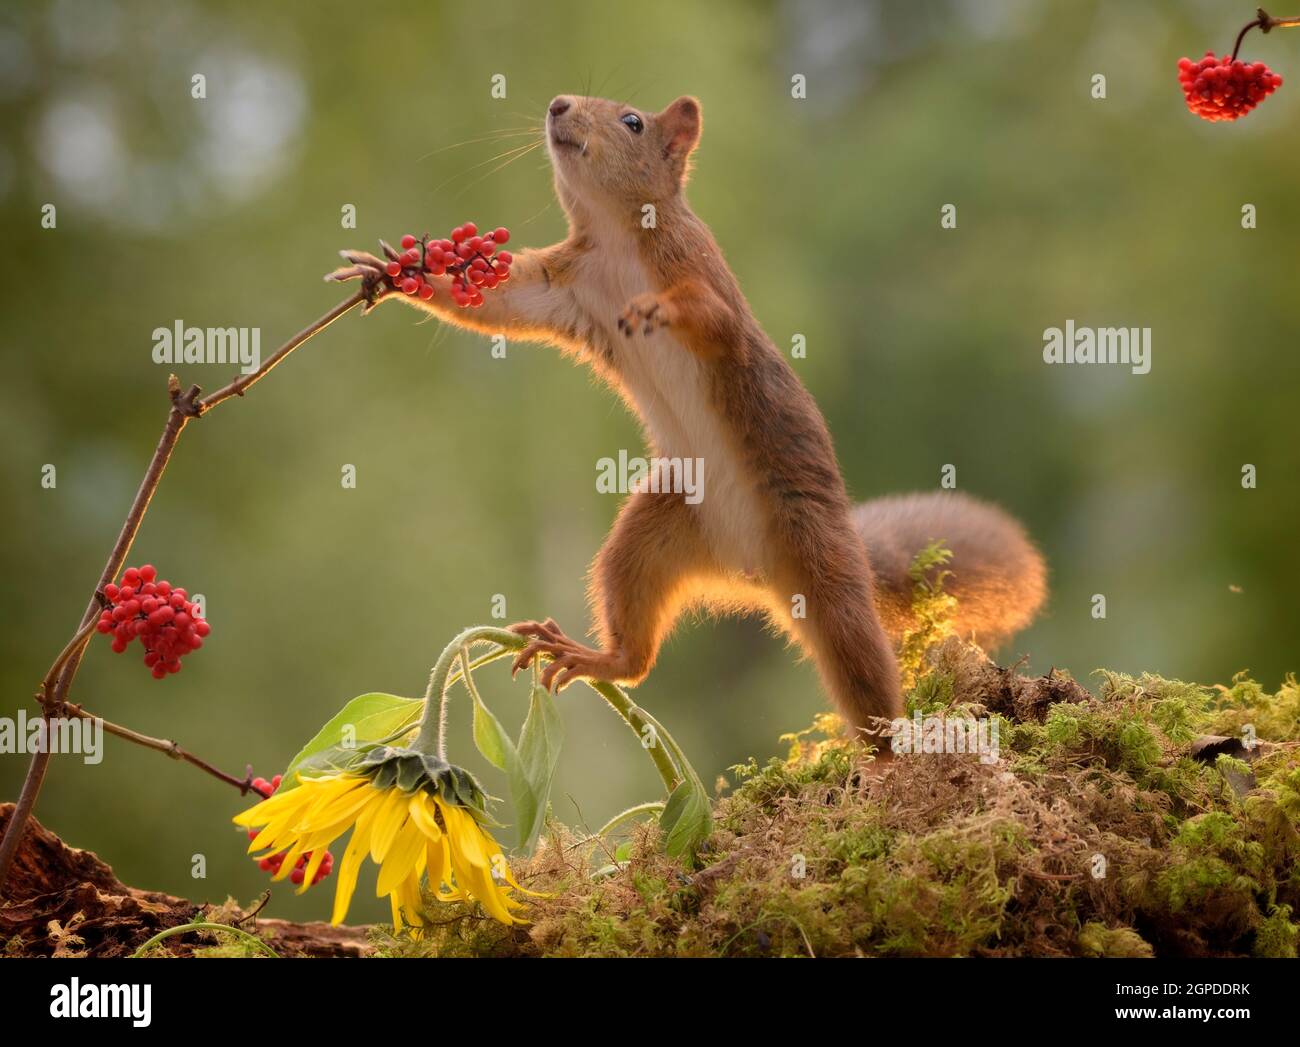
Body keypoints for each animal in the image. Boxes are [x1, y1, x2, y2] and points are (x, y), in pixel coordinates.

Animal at [328, 94, 1047, 748]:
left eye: (632, 121)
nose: (557, 104)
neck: (617, 235)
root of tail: (752, 573)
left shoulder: (699, 268)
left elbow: (710, 318)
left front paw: (658, 311)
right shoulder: (559, 286)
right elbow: (497, 303)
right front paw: (394, 273)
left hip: (824, 566)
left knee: (863, 669)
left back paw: (893, 755)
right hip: (654, 533)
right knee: (636, 653)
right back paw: (594, 655)